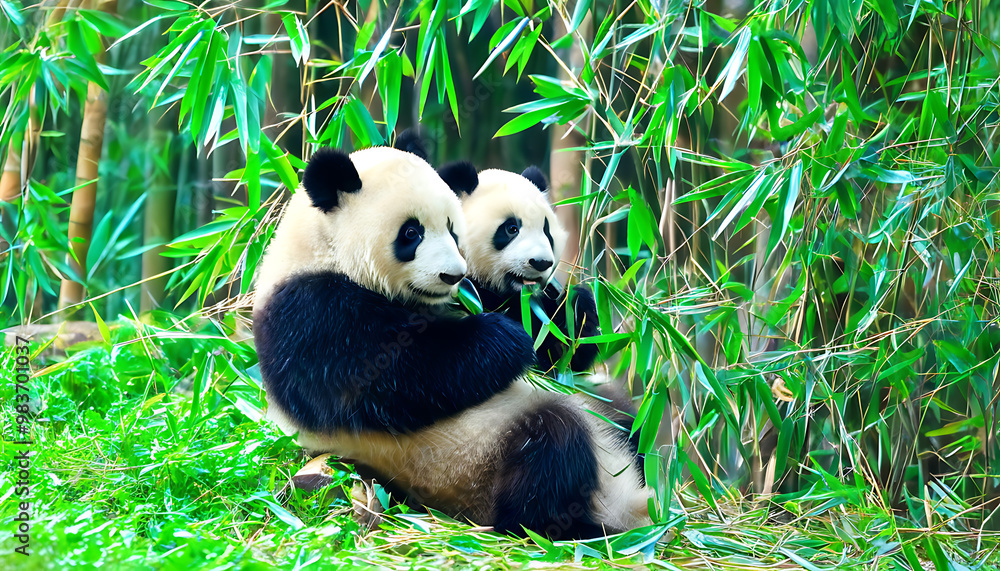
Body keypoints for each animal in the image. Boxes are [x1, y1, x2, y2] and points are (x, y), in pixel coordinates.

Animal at [253, 144, 650, 539]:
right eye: (411, 233)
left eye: (452, 230)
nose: (452, 275)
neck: (322, 250)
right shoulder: (311, 311)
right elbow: (392, 378)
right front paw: (505, 336)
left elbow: (554, 351)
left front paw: (573, 308)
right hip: (463, 465)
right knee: (551, 450)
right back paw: (569, 525)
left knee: (629, 419)